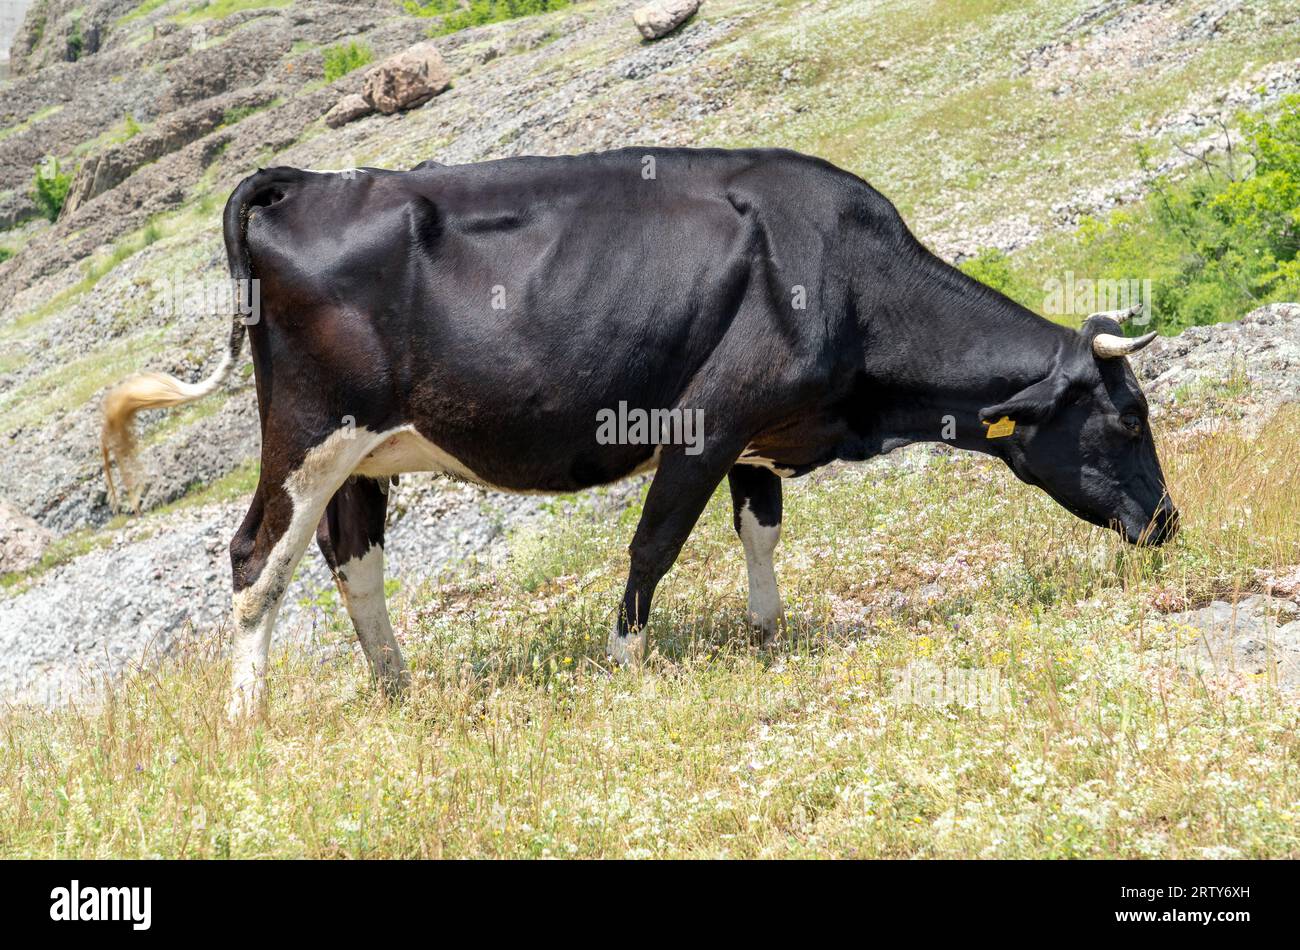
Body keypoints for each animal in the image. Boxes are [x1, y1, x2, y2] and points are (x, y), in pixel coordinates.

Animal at [99, 147, 1178, 720]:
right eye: (1128, 417)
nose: (1168, 522)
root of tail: (307, 181)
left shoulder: (757, 433)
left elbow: (761, 530)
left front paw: (767, 636)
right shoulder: (706, 420)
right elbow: (654, 544)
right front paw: (624, 661)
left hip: (364, 451)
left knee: (349, 558)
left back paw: (400, 689)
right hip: (309, 430)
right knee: (255, 557)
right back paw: (248, 717)